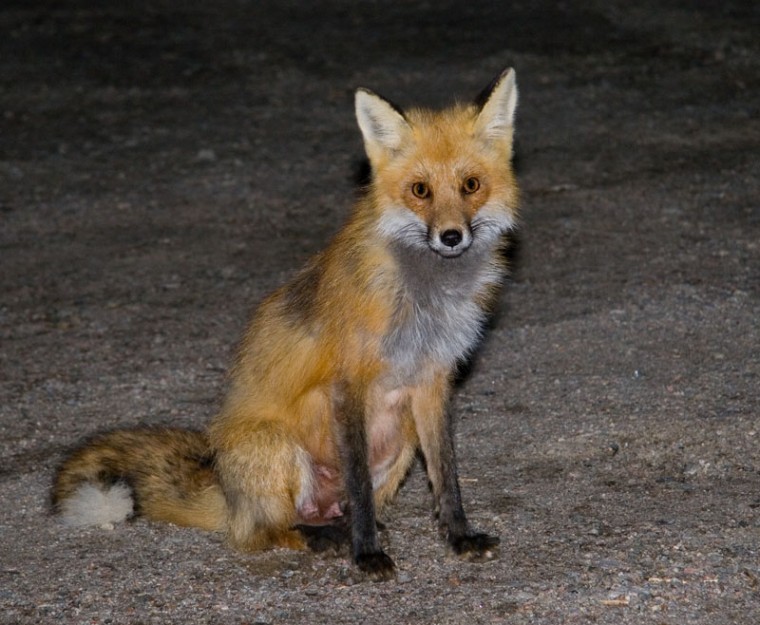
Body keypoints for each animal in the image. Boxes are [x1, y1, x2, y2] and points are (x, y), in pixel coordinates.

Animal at [52, 68, 520, 580]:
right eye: (420, 191)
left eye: (471, 184)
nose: (451, 237)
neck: (426, 300)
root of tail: (226, 490)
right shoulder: (348, 385)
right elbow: (358, 484)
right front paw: (367, 554)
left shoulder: (432, 381)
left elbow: (446, 478)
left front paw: (458, 537)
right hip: (277, 446)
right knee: (261, 533)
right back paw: (325, 538)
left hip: (400, 441)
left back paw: (341, 528)